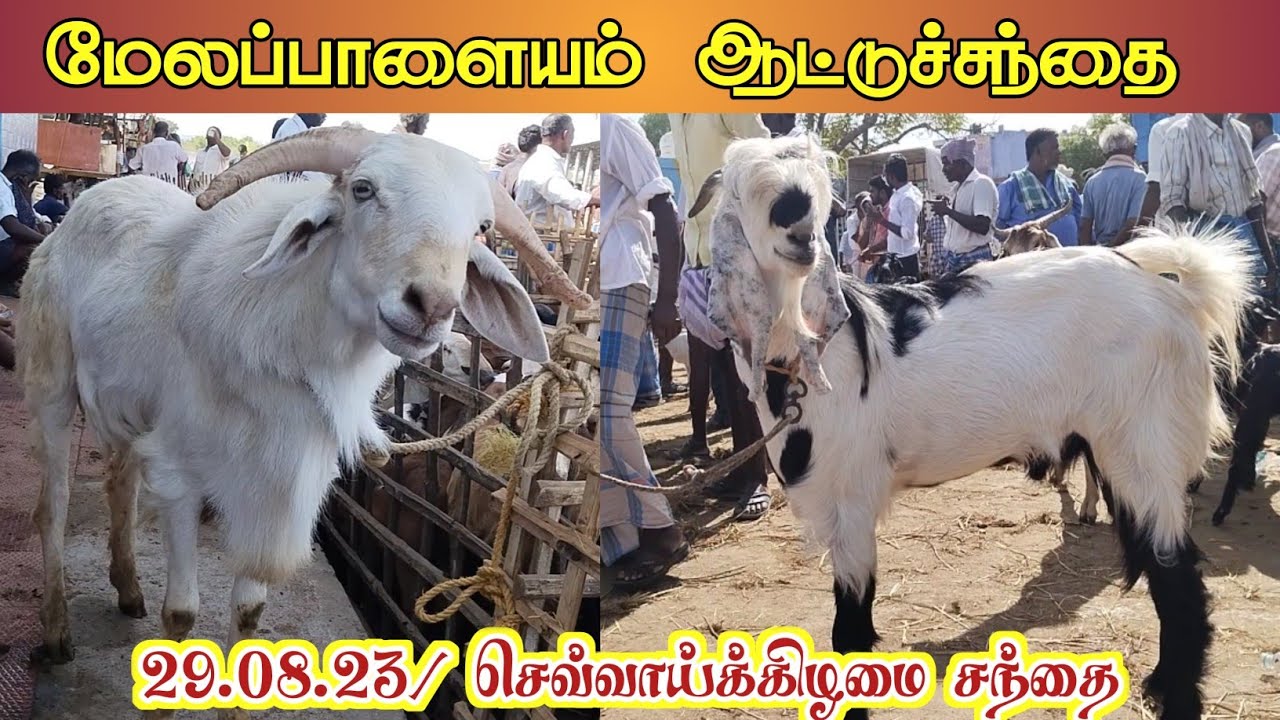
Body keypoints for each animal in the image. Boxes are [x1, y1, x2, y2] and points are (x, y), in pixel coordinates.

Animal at [15, 126, 590, 701]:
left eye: (481, 227)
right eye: (362, 189)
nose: (432, 306)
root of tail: (96, 195)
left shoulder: (275, 482)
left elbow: (249, 614)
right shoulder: (181, 473)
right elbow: (180, 614)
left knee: (119, 483)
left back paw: (128, 588)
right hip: (52, 381)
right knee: (52, 507)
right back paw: (57, 632)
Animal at [692, 133, 1256, 720]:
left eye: (818, 188)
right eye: (742, 189)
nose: (797, 225)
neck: (818, 354)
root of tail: (1173, 293)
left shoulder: (852, 502)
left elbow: (849, 631)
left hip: (1144, 441)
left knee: (1177, 578)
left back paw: (1177, 695)